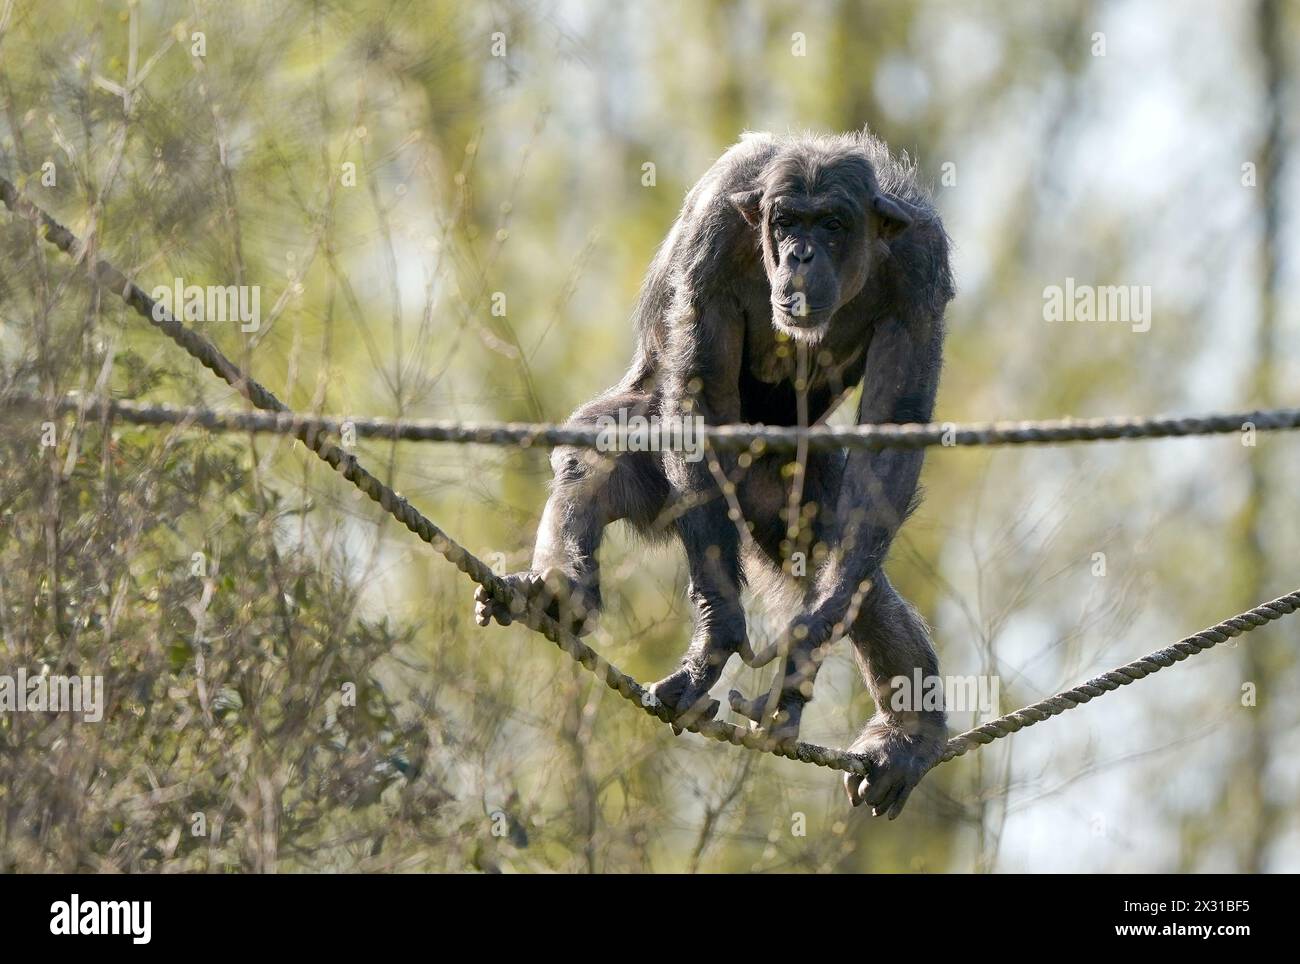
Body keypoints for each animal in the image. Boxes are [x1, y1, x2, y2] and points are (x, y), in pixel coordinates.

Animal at [475, 130, 955, 818]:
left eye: (832, 224)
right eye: (786, 222)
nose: (801, 252)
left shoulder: (922, 269)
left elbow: (890, 433)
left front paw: (804, 646)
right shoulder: (716, 236)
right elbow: (696, 392)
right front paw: (716, 640)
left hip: (793, 493)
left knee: (852, 567)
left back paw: (908, 736)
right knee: (598, 456)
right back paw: (556, 592)